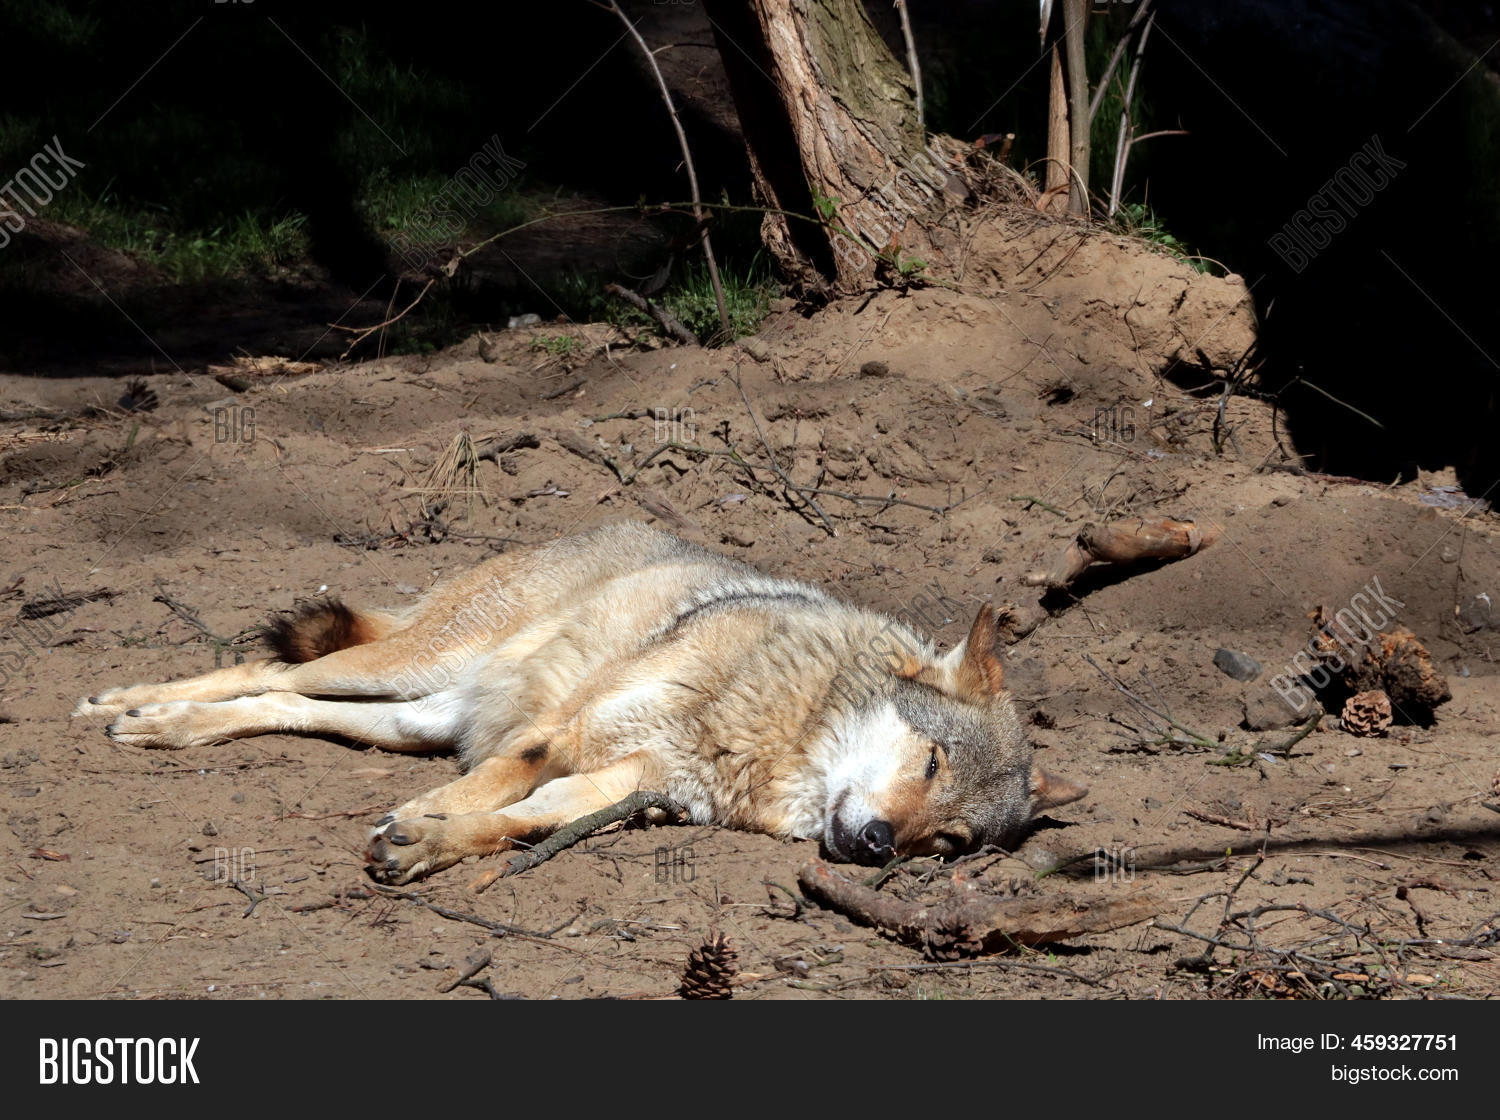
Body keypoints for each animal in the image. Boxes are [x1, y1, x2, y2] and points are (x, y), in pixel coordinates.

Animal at [76, 522, 1085, 883]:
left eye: (948, 842)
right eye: (931, 761)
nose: (876, 845)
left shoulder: (638, 785)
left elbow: (518, 821)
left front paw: (427, 840)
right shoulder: (570, 733)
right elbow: (499, 784)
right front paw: (433, 819)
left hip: (407, 719)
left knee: (282, 704)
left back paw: (171, 728)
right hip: (403, 667)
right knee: (262, 672)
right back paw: (135, 708)